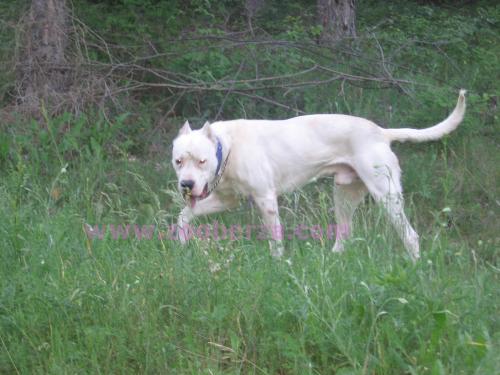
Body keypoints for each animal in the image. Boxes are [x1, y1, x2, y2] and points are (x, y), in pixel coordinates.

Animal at [172, 91, 464, 262]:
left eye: (202, 161)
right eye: (178, 161)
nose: (186, 184)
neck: (227, 147)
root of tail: (381, 131)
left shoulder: (266, 200)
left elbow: (275, 239)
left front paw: (277, 264)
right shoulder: (225, 200)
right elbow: (184, 214)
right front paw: (182, 243)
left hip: (386, 195)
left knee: (410, 235)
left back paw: (414, 267)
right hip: (344, 195)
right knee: (345, 233)